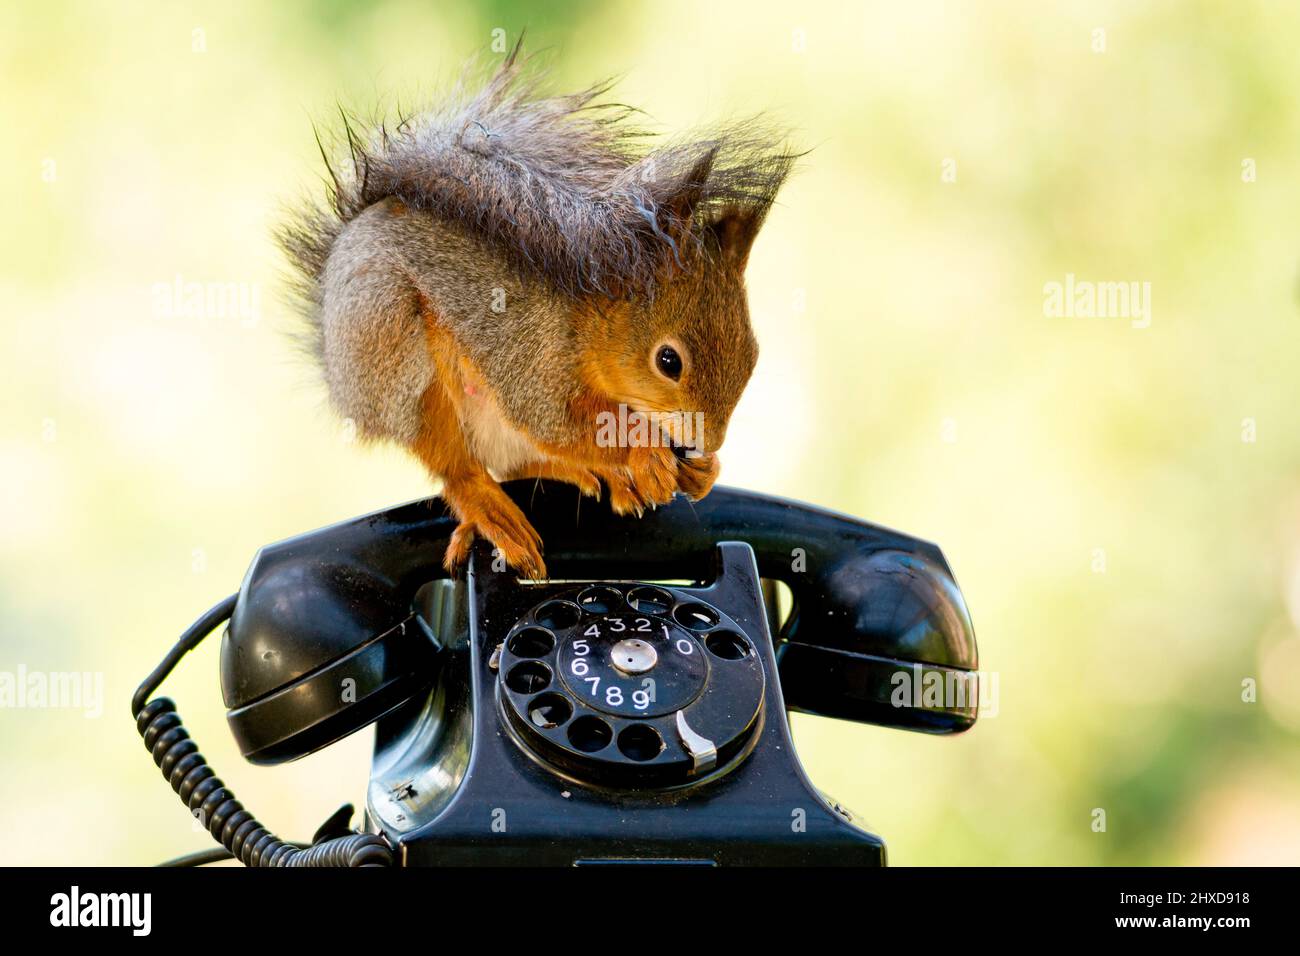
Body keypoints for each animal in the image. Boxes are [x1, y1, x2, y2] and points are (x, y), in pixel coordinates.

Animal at [278, 44, 795, 579]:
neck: (585, 320)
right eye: (668, 361)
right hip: (399, 361)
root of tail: (336, 362)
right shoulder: (533, 360)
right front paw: (645, 452)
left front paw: (702, 471)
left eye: (754, 354)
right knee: (456, 468)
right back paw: (492, 508)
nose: (706, 444)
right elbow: (556, 422)